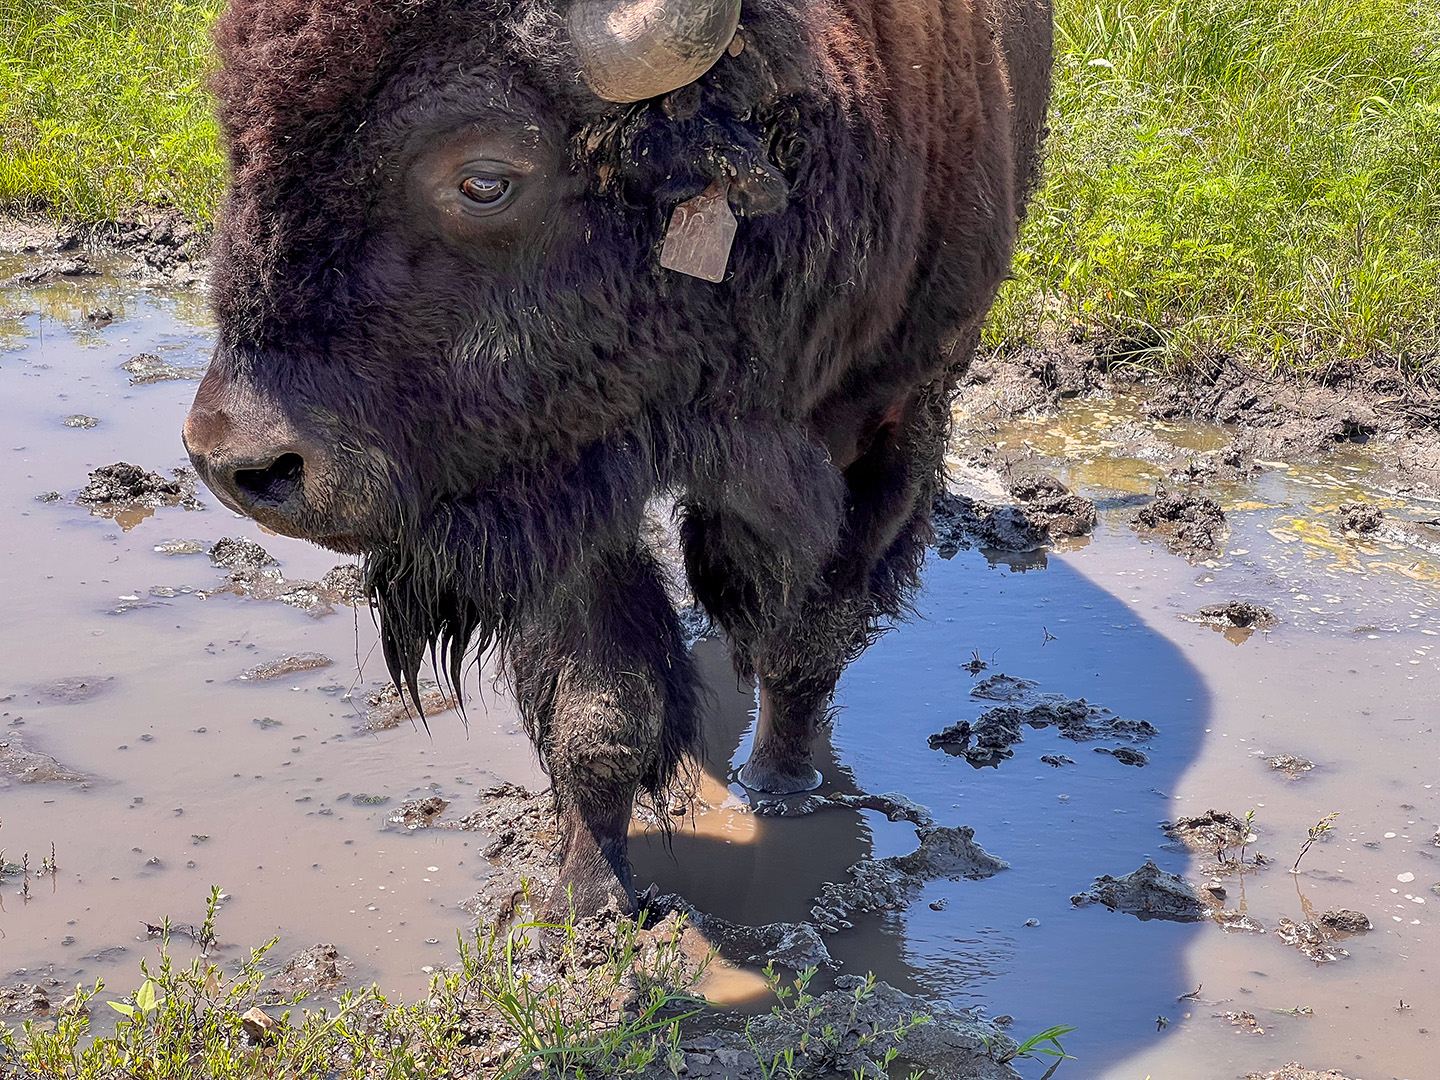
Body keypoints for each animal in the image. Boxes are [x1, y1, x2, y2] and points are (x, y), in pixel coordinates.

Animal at [183, 0, 1052, 917]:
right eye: (239, 139)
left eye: (483, 180)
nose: (239, 463)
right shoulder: (572, 468)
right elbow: (602, 695)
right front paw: (589, 897)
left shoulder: (891, 426)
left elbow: (811, 636)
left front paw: (785, 785)